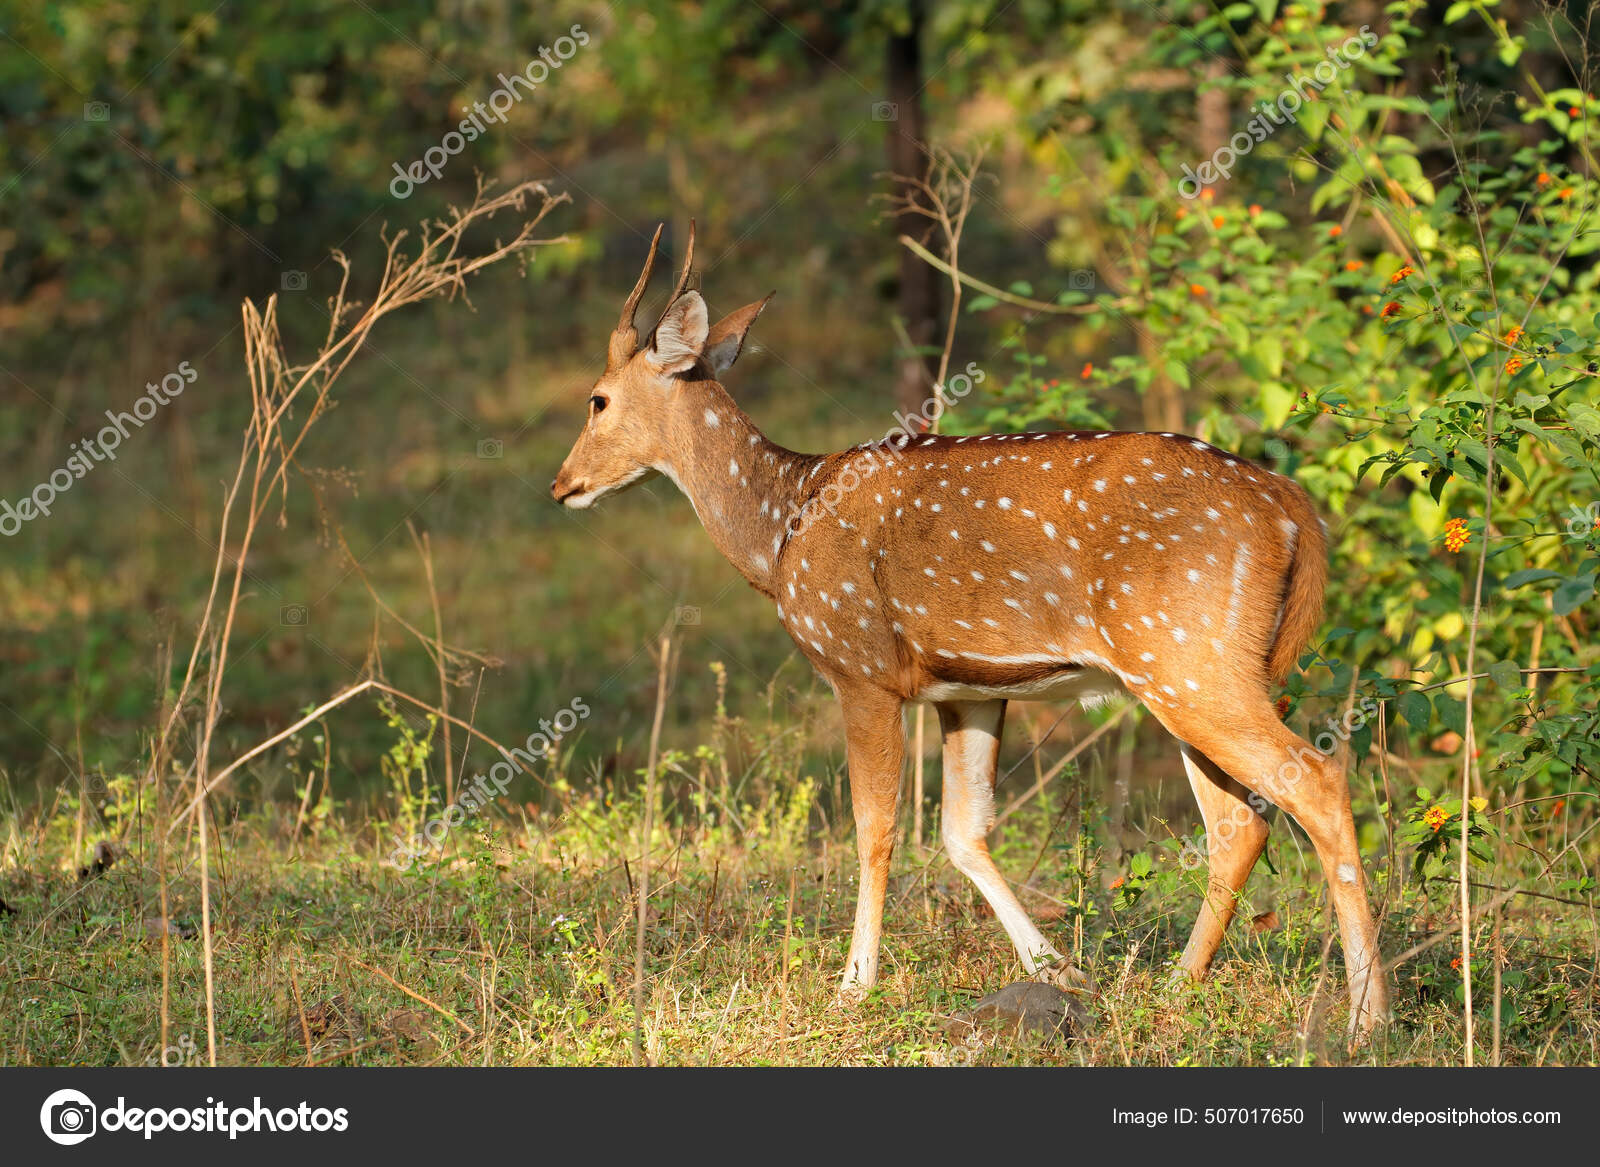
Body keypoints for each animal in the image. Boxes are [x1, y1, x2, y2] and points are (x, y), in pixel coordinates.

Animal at [551, 222, 1390, 1037]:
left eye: (597, 399)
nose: (562, 485)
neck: (781, 528)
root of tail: (1291, 507)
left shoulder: (861, 666)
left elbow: (876, 827)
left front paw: (853, 987)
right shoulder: (971, 688)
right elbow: (964, 830)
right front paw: (1060, 969)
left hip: (1188, 658)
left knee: (1314, 779)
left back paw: (1367, 1016)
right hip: (1191, 668)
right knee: (1239, 821)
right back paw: (1177, 987)